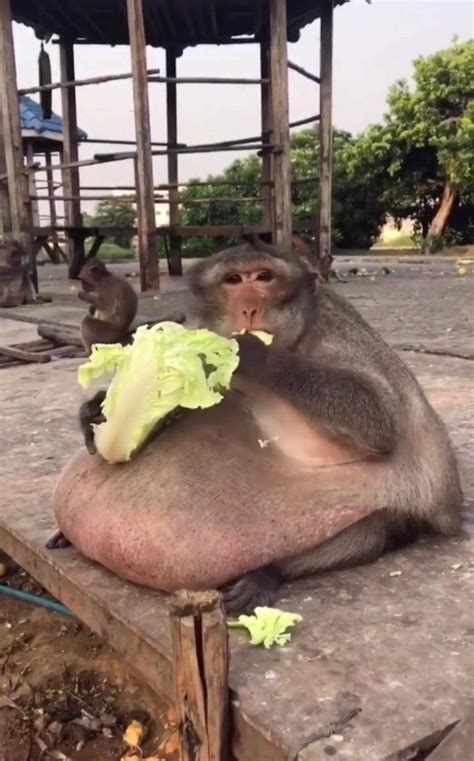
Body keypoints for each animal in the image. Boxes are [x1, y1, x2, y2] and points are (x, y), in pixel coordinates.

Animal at [49, 237, 463, 614]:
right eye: (233, 280)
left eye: (264, 277)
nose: (249, 307)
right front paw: (98, 409)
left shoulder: (334, 333)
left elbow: (378, 418)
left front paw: (250, 351)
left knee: (378, 527)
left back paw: (269, 572)